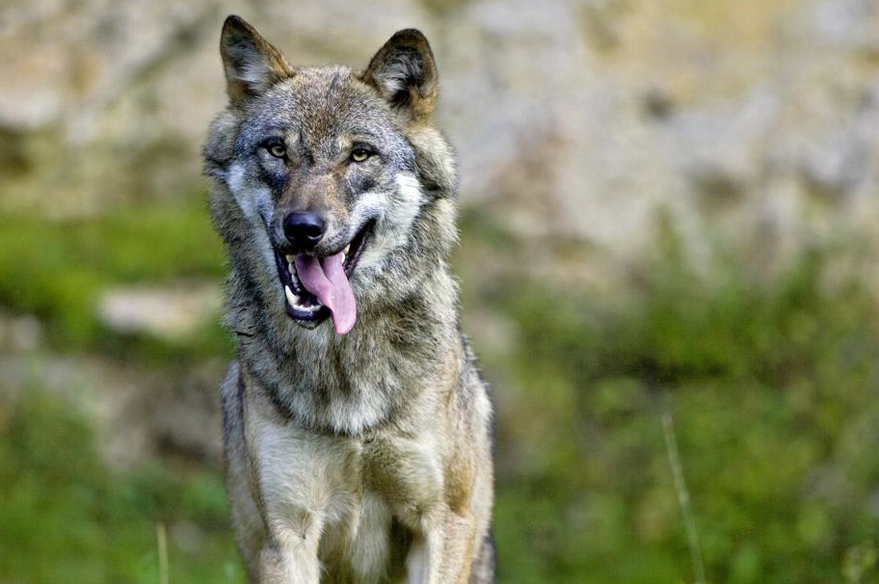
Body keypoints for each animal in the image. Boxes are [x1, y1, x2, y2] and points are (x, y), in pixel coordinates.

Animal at [202, 15, 495, 584]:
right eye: (277, 150)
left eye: (359, 153)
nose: (303, 229)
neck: (344, 364)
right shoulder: (286, 534)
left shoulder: (444, 522)